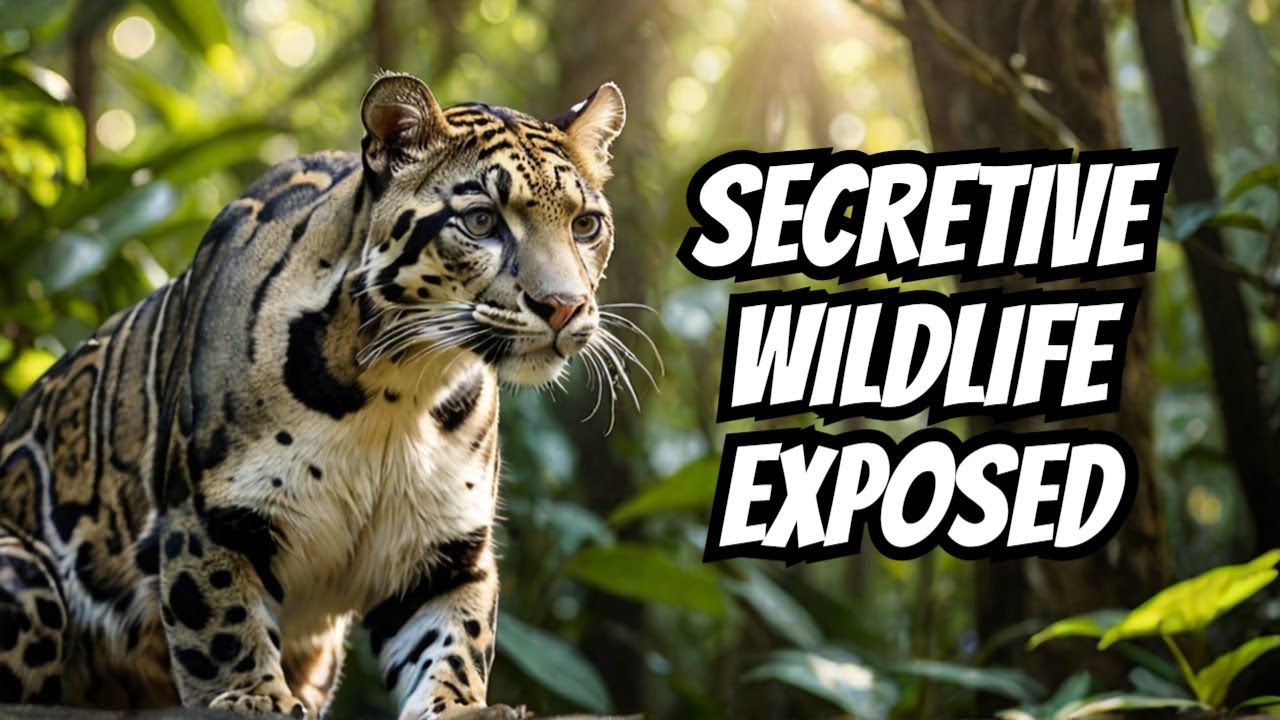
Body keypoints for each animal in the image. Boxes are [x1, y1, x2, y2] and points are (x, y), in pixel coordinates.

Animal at [0, 72, 629, 719]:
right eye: (480, 221)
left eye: (586, 225)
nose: (564, 307)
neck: (398, 390)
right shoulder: (207, 518)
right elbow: (223, 625)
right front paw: (255, 698)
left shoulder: (445, 553)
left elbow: (457, 640)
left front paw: (460, 705)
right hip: (25, 575)